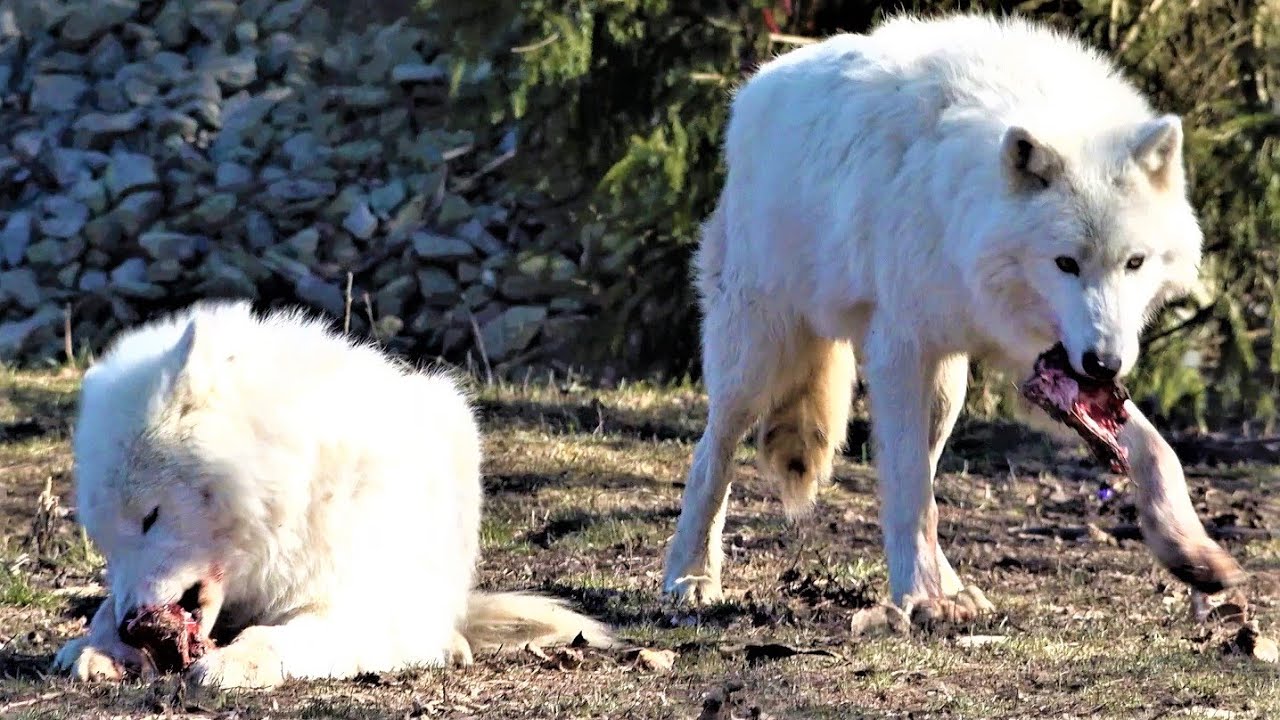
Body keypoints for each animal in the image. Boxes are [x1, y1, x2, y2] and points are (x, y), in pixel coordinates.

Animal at [53, 300, 611, 689]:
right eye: (106, 542)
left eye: (150, 516)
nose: (133, 629)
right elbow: (101, 613)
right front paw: (101, 649)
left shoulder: (350, 602)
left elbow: (273, 635)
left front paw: (235, 661)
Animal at [662, 13, 1234, 620]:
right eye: (1066, 263)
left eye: (1134, 262)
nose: (1104, 363)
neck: (964, 210)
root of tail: (756, 85)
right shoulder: (899, 351)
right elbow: (909, 491)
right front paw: (916, 594)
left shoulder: (1035, 358)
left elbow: (1157, 452)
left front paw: (1192, 553)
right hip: (758, 356)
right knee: (714, 453)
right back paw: (690, 576)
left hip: (946, 388)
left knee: (926, 470)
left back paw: (955, 589)